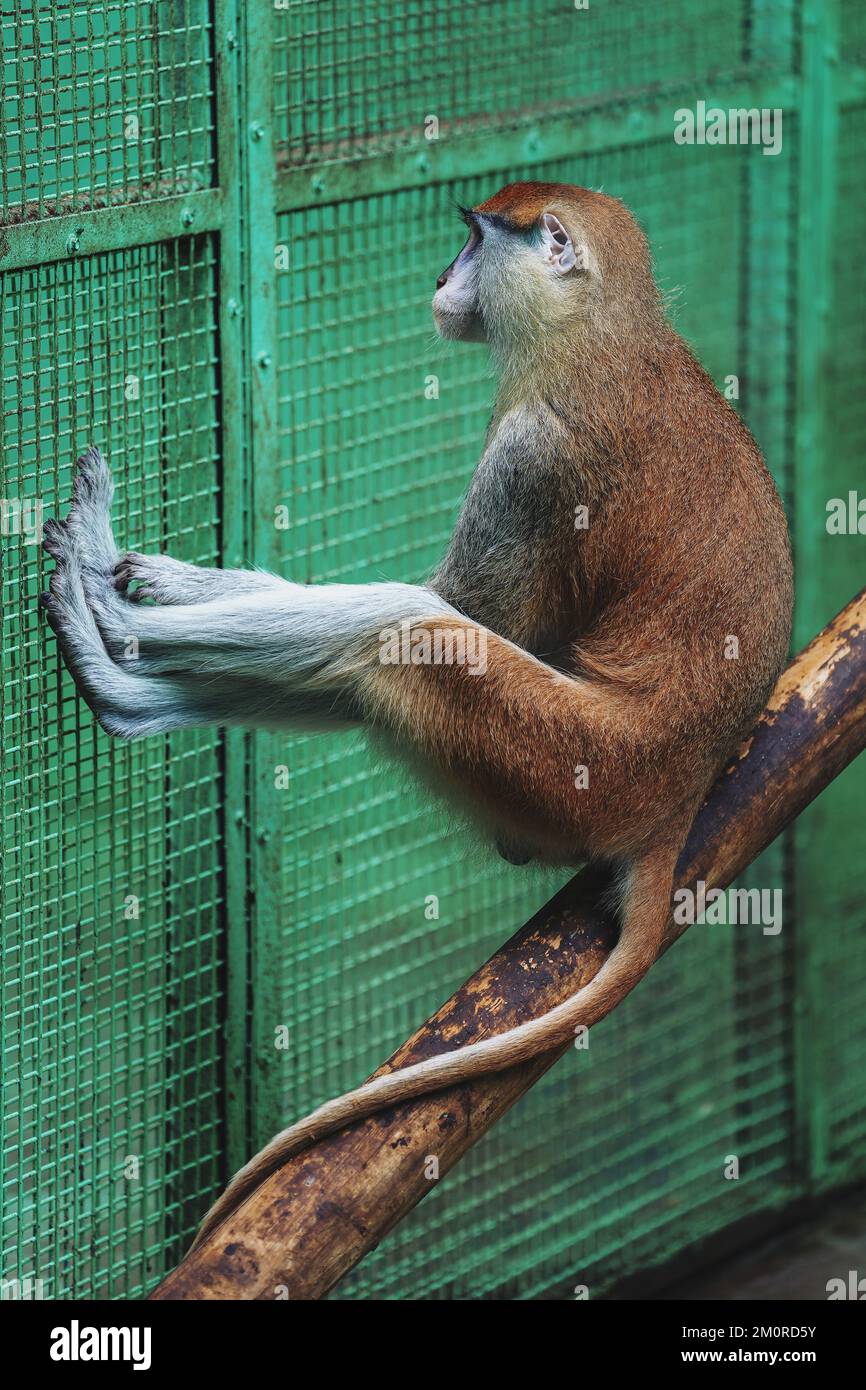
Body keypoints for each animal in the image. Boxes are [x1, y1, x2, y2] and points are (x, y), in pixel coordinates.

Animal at [41, 181, 793, 1249]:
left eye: (476, 239)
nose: (443, 278)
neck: (605, 327)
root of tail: (674, 802)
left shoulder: (534, 458)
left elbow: (469, 612)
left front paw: (137, 586)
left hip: (573, 764)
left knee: (402, 629)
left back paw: (114, 642)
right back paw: (129, 693)